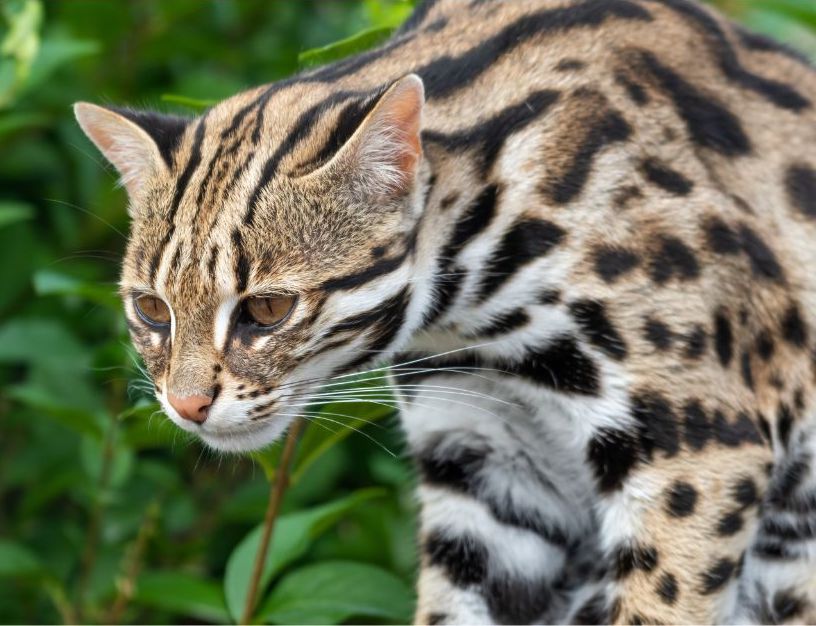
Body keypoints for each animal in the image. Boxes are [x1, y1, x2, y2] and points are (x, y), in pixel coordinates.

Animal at [74, 0, 816, 623]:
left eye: (267, 308)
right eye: (152, 309)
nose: (186, 407)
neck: (474, 319)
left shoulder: (699, 446)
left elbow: (658, 603)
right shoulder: (486, 465)